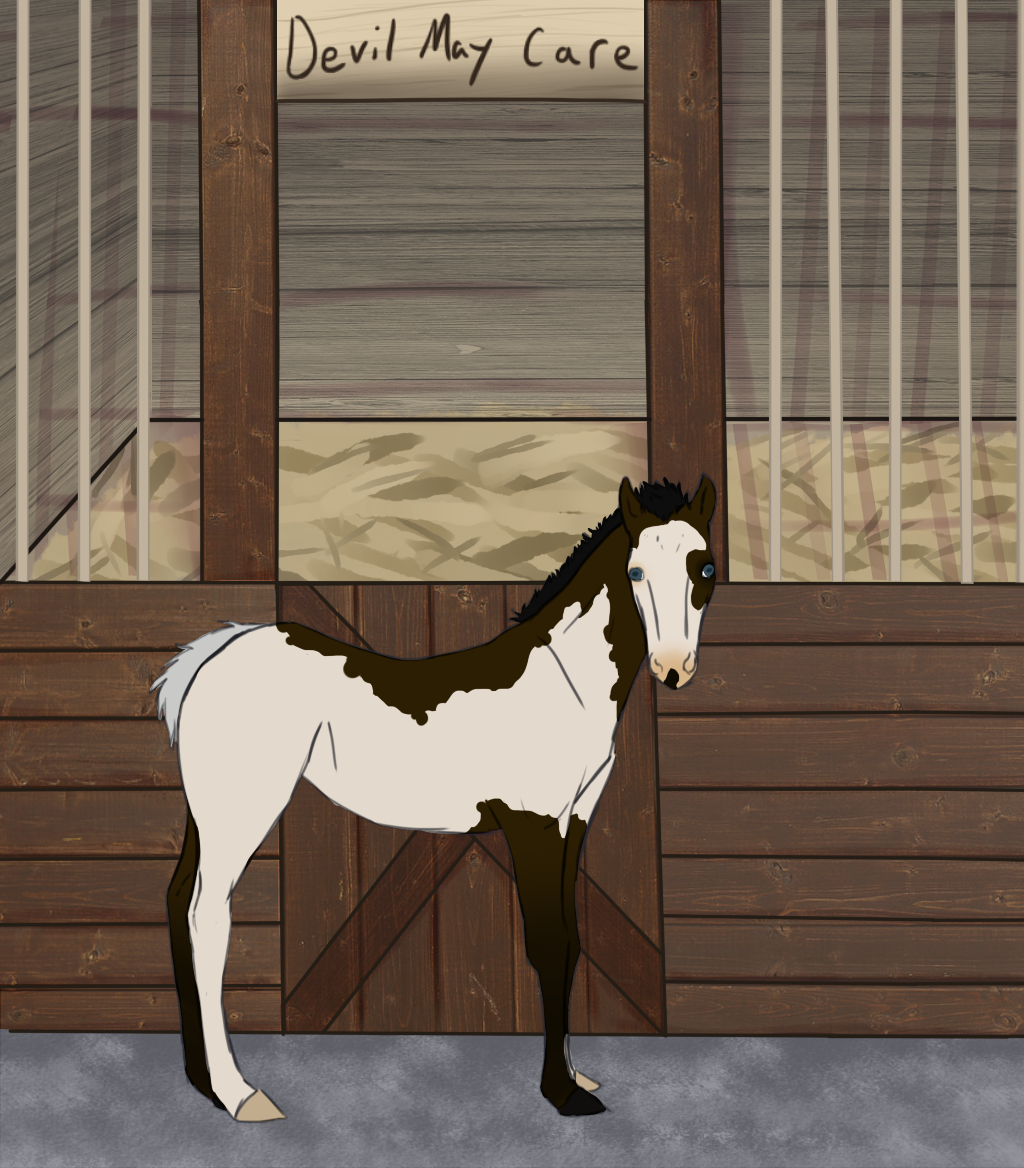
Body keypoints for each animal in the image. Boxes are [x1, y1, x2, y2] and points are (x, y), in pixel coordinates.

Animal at [153, 474, 717, 1122]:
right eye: (636, 571)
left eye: (705, 567)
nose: (673, 668)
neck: (564, 686)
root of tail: (213, 657)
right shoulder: (534, 826)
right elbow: (548, 945)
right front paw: (564, 1093)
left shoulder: (574, 822)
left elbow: (572, 943)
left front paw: (579, 1077)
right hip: (241, 813)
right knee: (207, 916)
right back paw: (239, 1093)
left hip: (209, 815)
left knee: (178, 902)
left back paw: (202, 1082)